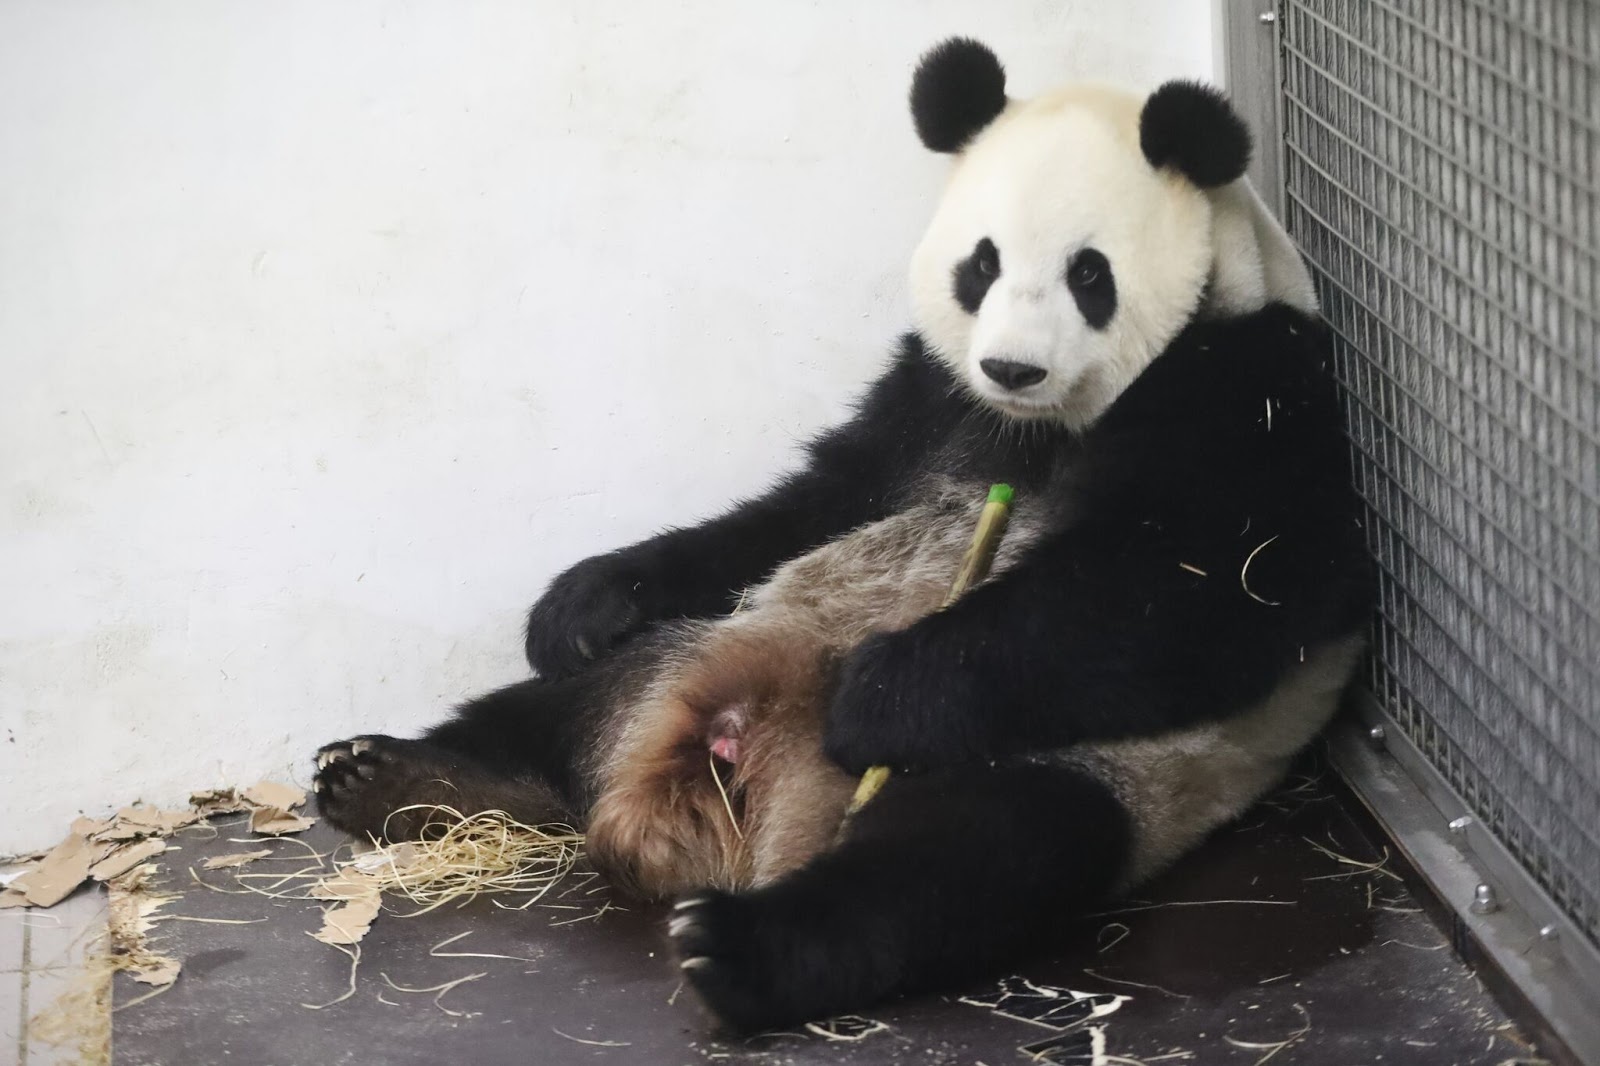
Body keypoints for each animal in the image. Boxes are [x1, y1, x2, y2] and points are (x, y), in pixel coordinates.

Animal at [312, 38, 1372, 1033]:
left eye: (1089, 274)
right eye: (982, 264)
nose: (1012, 367)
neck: (1039, 424)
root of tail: (743, 810)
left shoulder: (1248, 393)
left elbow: (1202, 594)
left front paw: (880, 689)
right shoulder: (929, 397)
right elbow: (814, 503)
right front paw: (582, 599)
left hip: (1084, 771)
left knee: (958, 860)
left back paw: (740, 951)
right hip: (687, 646)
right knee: (549, 710)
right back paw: (399, 777)